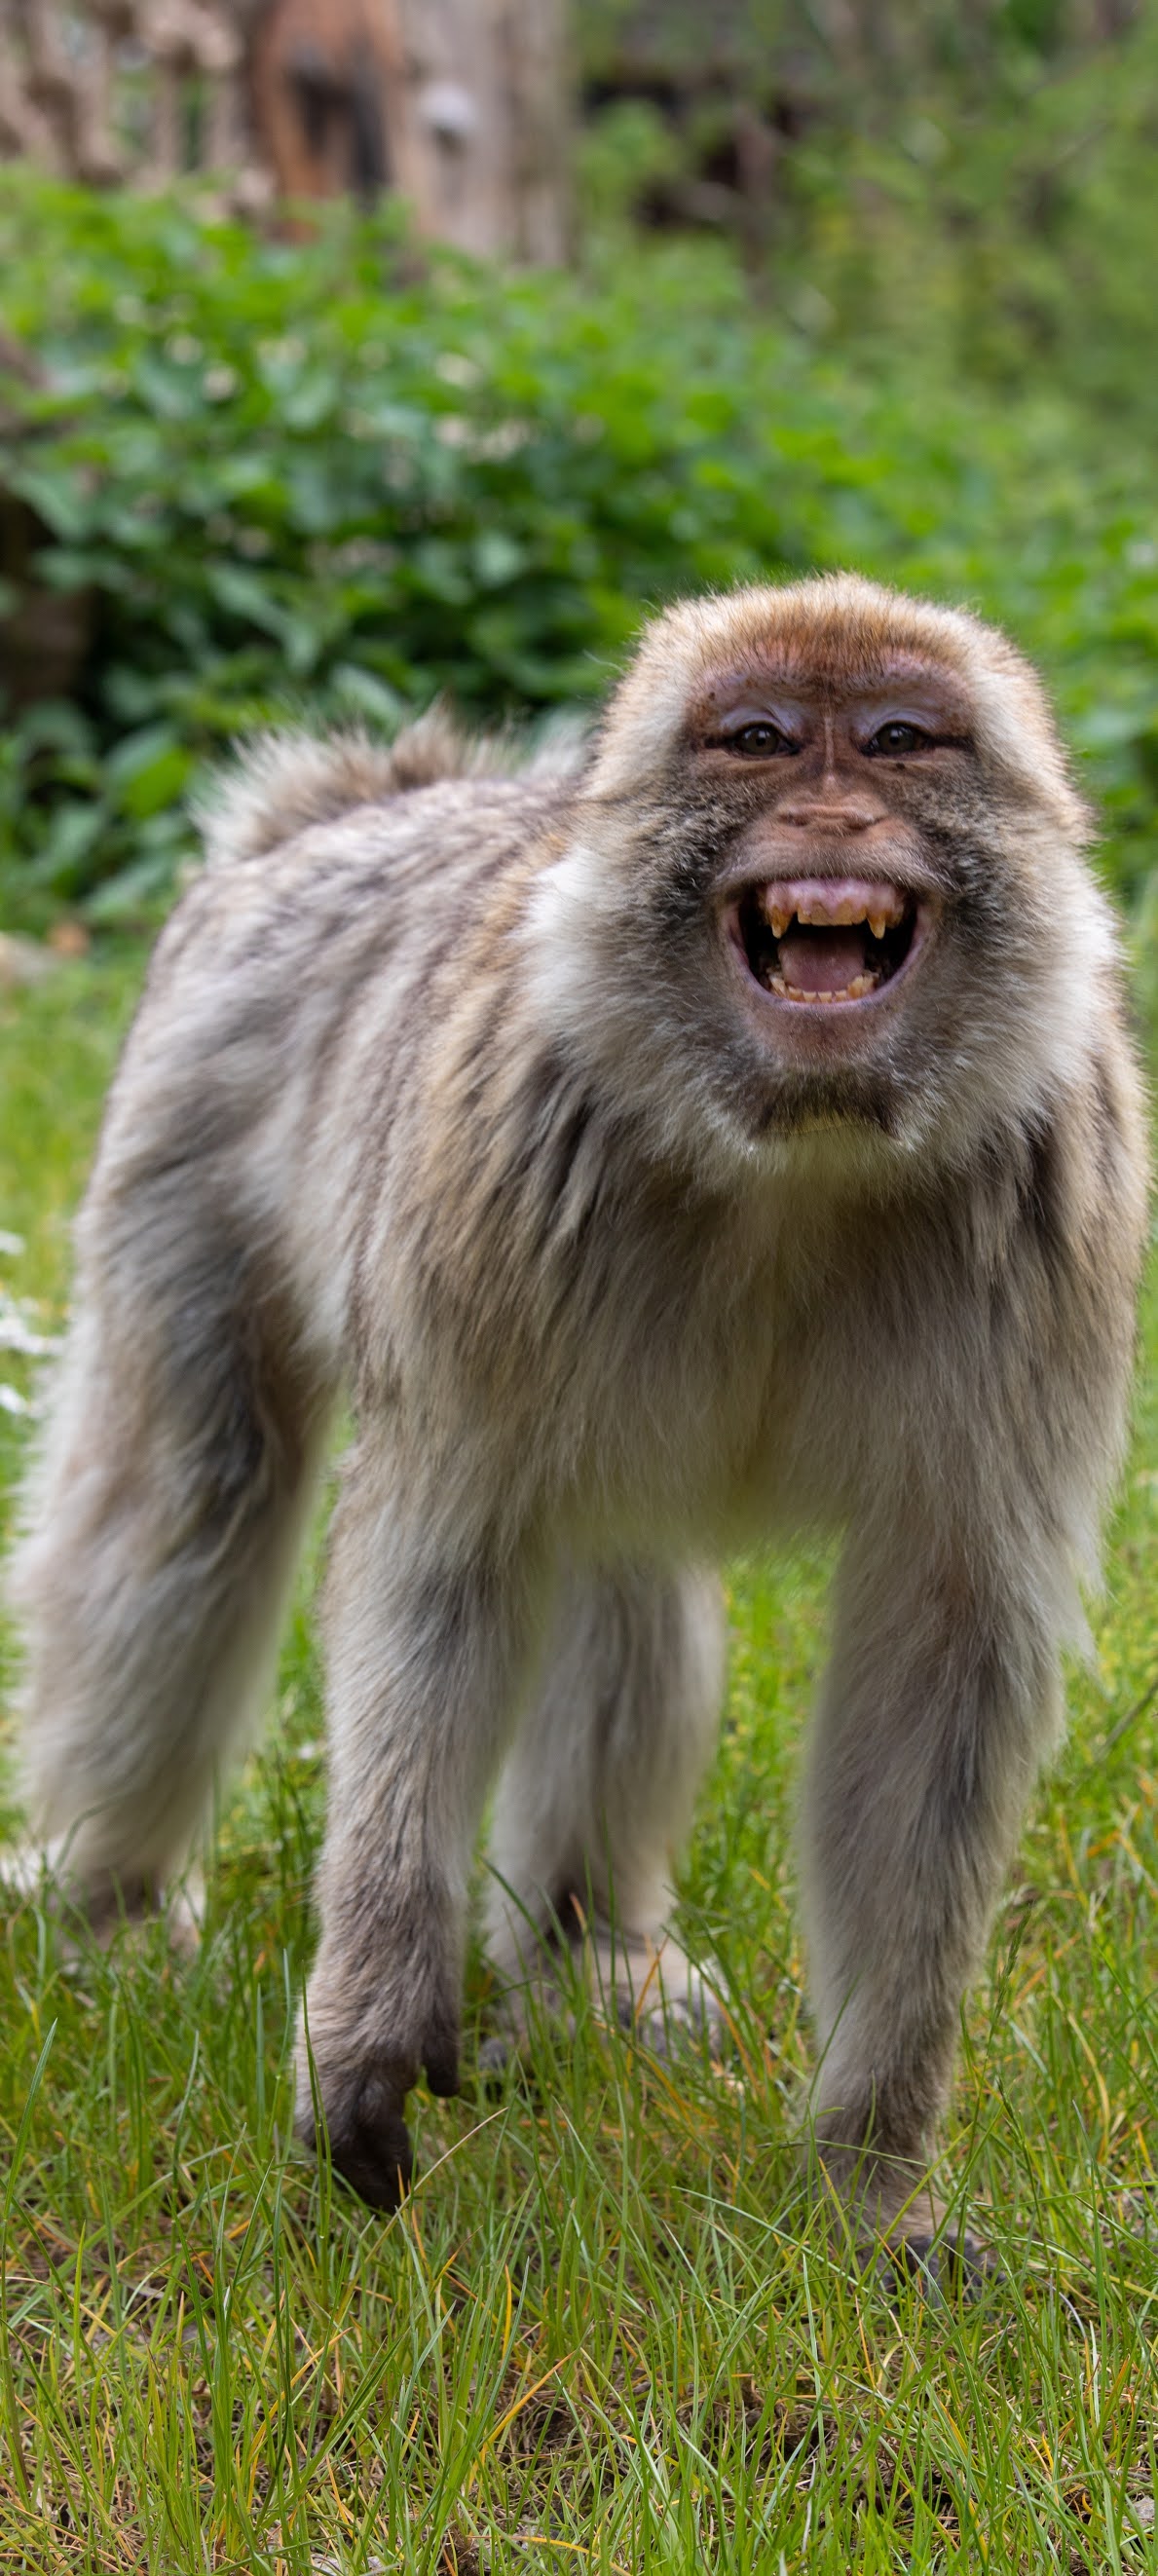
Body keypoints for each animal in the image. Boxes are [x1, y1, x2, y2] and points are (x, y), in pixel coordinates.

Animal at [6, 573, 1148, 2271]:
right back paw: (113, 1906)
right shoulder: (488, 1196)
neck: (794, 1159)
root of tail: (368, 800)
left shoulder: (1059, 1213)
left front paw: (874, 2180)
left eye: (899, 740)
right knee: (191, 1496)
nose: (831, 810)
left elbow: (941, 1656)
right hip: (176, 1120)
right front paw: (369, 2026)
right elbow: (438, 1569)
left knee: (624, 1571)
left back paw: (585, 1953)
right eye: (756, 740)